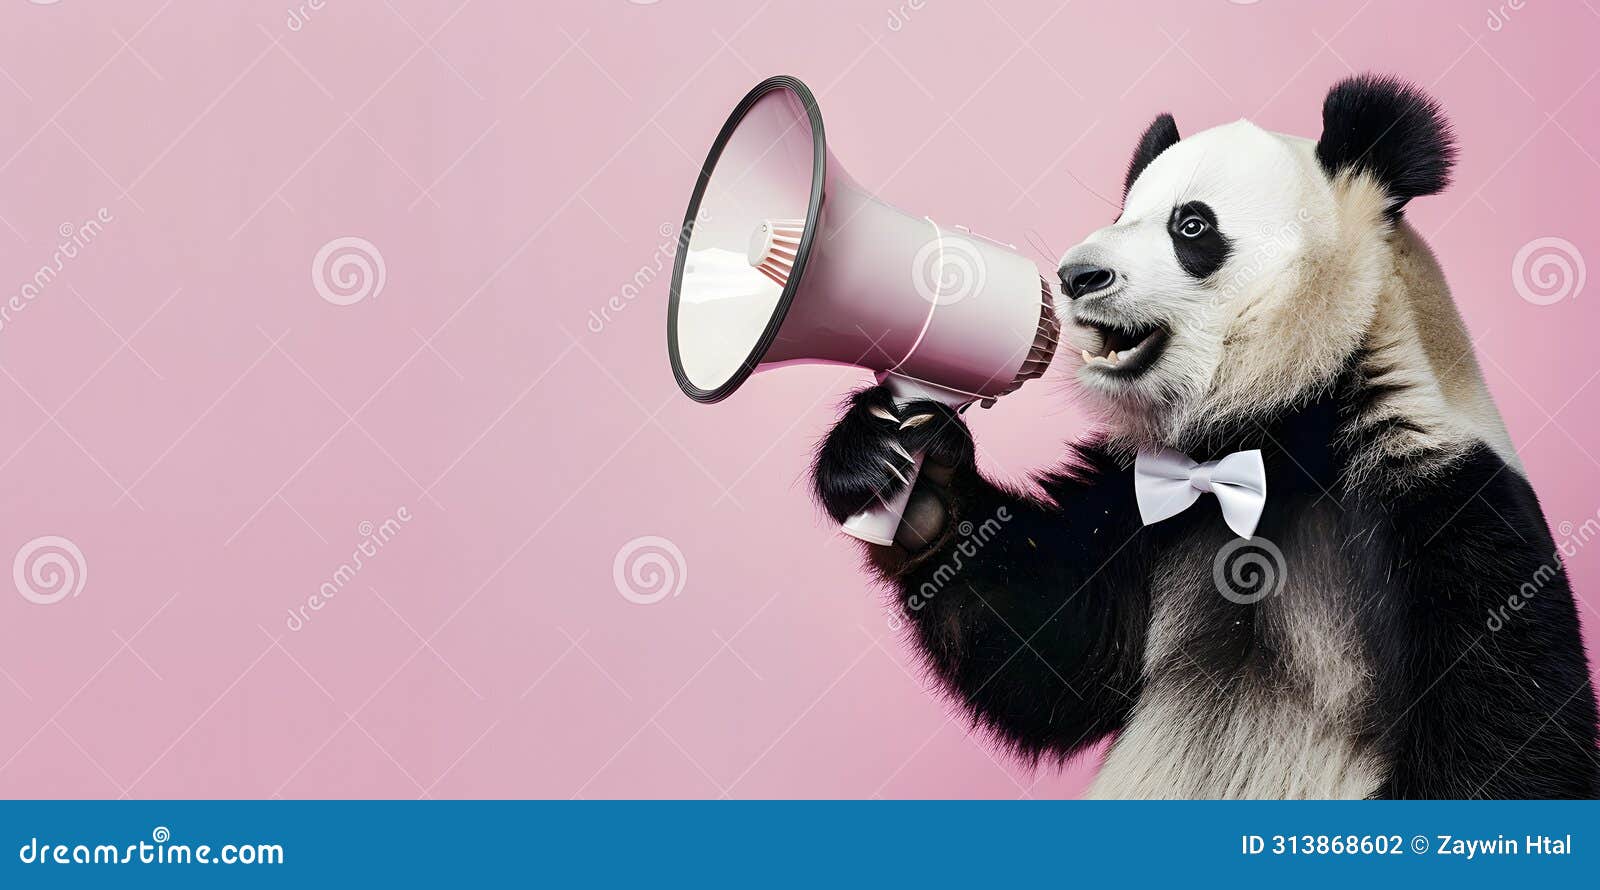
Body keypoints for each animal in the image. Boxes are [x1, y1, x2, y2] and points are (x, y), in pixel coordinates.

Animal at [811, 74, 1600, 799]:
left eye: (1191, 226)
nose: (1075, 275)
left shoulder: (1450, 510)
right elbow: (1058, 652)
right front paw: (901, 476)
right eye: (1121, 212)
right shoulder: (1135, 507)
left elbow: (1510, 732)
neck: (1274, 438)